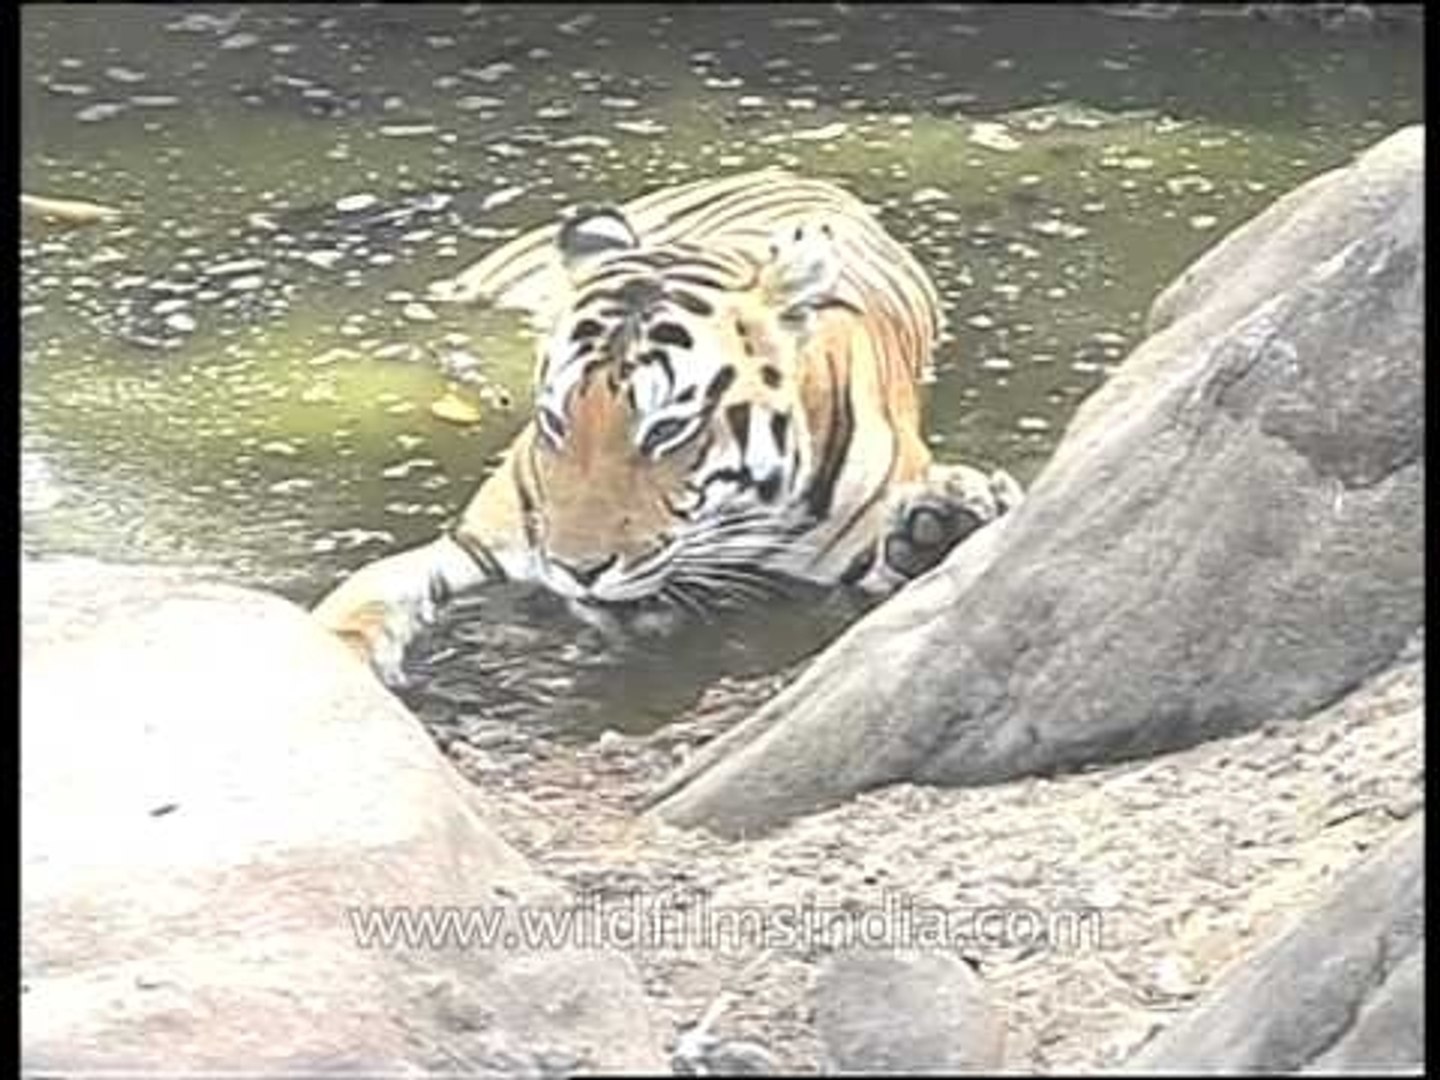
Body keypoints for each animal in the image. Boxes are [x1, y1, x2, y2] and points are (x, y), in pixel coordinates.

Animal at [314, 168, 1022, 684]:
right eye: (555, 420)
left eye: (665, 432)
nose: (575, 569)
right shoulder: (476, 543)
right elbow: (369, 591)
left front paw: (942, 522)